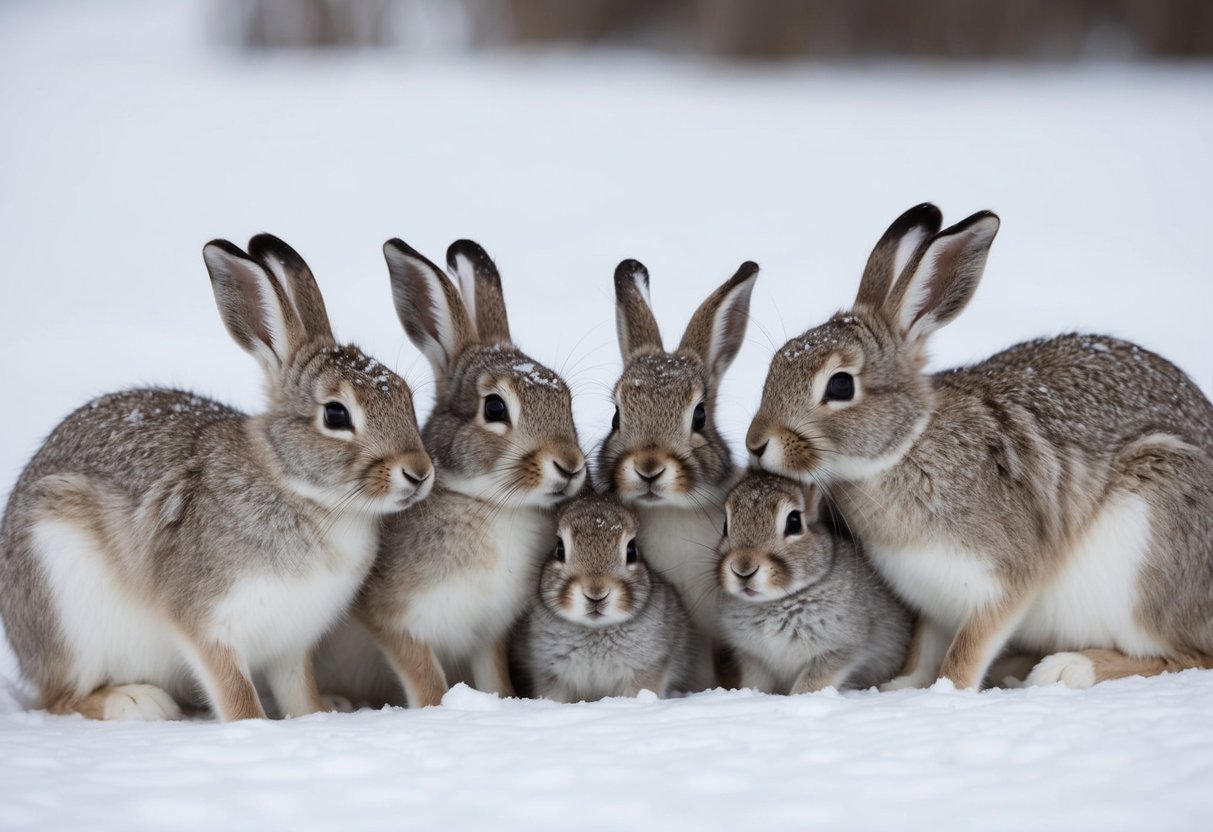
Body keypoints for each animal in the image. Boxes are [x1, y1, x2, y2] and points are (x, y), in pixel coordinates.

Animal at [0, 235, 433, 722]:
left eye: (406, 397)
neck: (300, 490)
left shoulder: (291, 642)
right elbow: (233, 690)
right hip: (67, 605)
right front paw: (253, 727)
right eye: (336, 415)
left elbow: (298, 691)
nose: (419, 473)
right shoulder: (206, 621)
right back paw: (136, 702)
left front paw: (316, 715)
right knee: (58, 698)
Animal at [318, 238, 587, 709]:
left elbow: (494, 674)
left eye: (565, 399)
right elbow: (424, 676)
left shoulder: (487, 633)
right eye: (494, 408)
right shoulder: (396, 623)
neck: (489, 504)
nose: (570, 465)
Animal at [516, 491, 693, 703]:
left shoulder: (646, 671)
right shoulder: (550, 675)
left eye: (631, 550)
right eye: (559, 549)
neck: (596, 629)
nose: (596, 594)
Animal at [717, 472, 911, 694]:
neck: (777, 601)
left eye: (794, 522)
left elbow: (812, 683)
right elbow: (755, 683)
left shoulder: (837, 650)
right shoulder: (755, 660)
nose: (743, 569)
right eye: (725, 526)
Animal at [746, 202, 1213, 691]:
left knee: (1187, 655)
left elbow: (968, 650)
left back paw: (1066, 669)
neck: (907, 447)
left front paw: (947, 693)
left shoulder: (1005, 581)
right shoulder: (933, 602)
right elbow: (925, 651)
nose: (755, 443)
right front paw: (899, 688)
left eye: (840, 385)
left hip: (1147, 548)